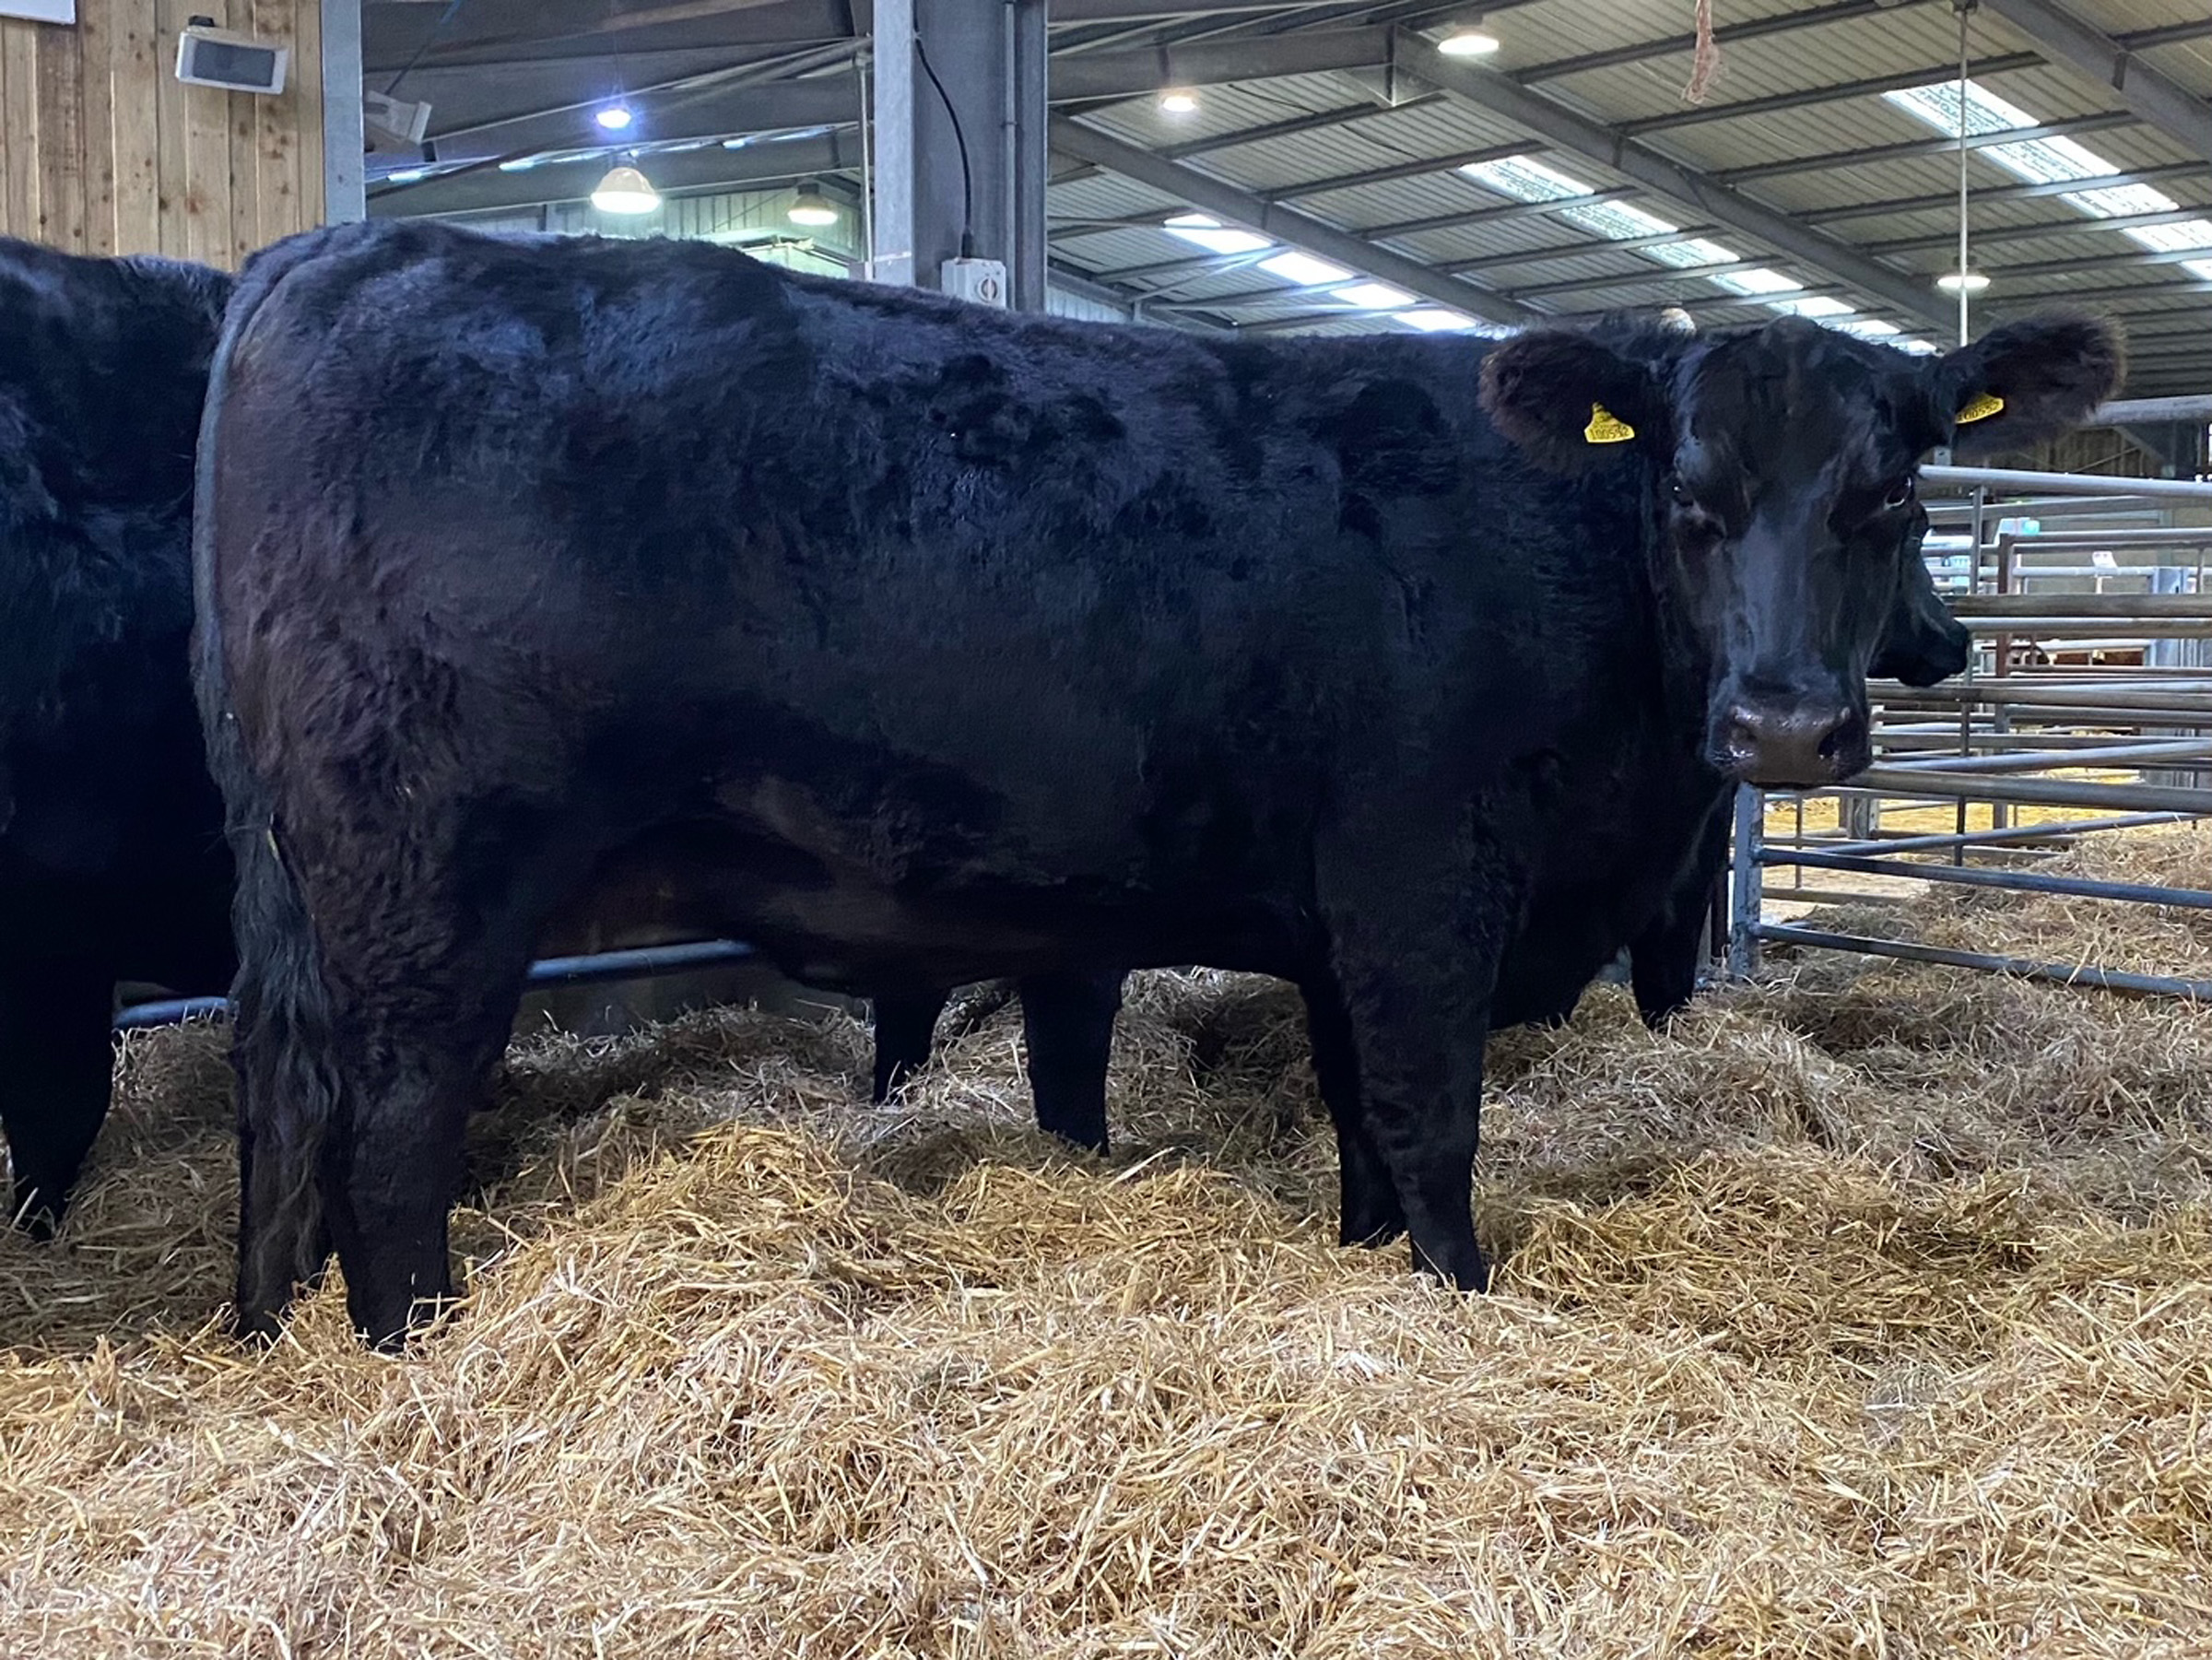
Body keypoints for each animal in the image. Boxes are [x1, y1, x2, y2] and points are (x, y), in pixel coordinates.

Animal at [195, 219, 2119, 1344]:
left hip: (303, 888)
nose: (1787, 729)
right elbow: (1430, 1120)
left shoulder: (1351, 918)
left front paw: (1375, 1273)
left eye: (1893, 493)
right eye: (1691, 496)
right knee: (392, 1130)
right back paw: (415, 1343)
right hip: (428, 882)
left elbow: (1363, 1127)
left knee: (282, 1105)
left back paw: (268, 1335)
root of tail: (354, 245)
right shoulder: (1423, 882)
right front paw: (1464, 1301)